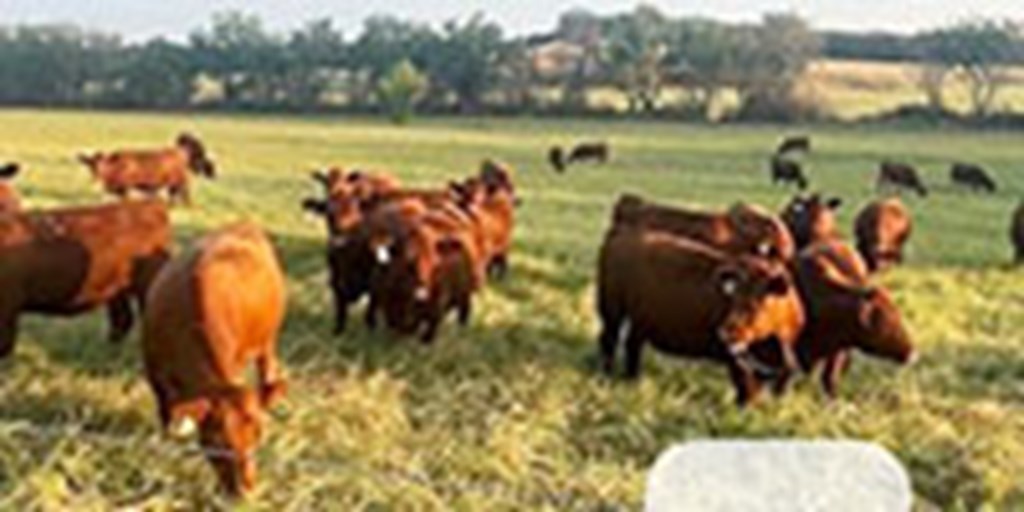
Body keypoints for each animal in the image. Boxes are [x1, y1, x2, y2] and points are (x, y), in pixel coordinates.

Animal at [78, 133, 216, 205]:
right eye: (90, 165)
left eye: (103, 164)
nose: (96, 176)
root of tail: (180, 150)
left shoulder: (125, 189)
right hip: (173, 185)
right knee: (174, 196)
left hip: (181, 182)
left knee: (186, 196)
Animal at [142, 222, 286, 496]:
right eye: (217, 442)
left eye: (258, 436)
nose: (246, 493)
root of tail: (244, 224)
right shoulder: (154, 372)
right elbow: (165, 411)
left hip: (268, 339)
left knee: (267, 367)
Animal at [596, 225, 805, 406]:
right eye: (732, 298)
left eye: (756, 304)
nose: (725, 332)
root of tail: (620, 233)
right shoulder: (735, 358)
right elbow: (746, 387)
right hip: (612, 309)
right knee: (609, 339)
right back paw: (607, 376)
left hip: (638, 319)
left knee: (632, 343)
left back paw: (632, 378)